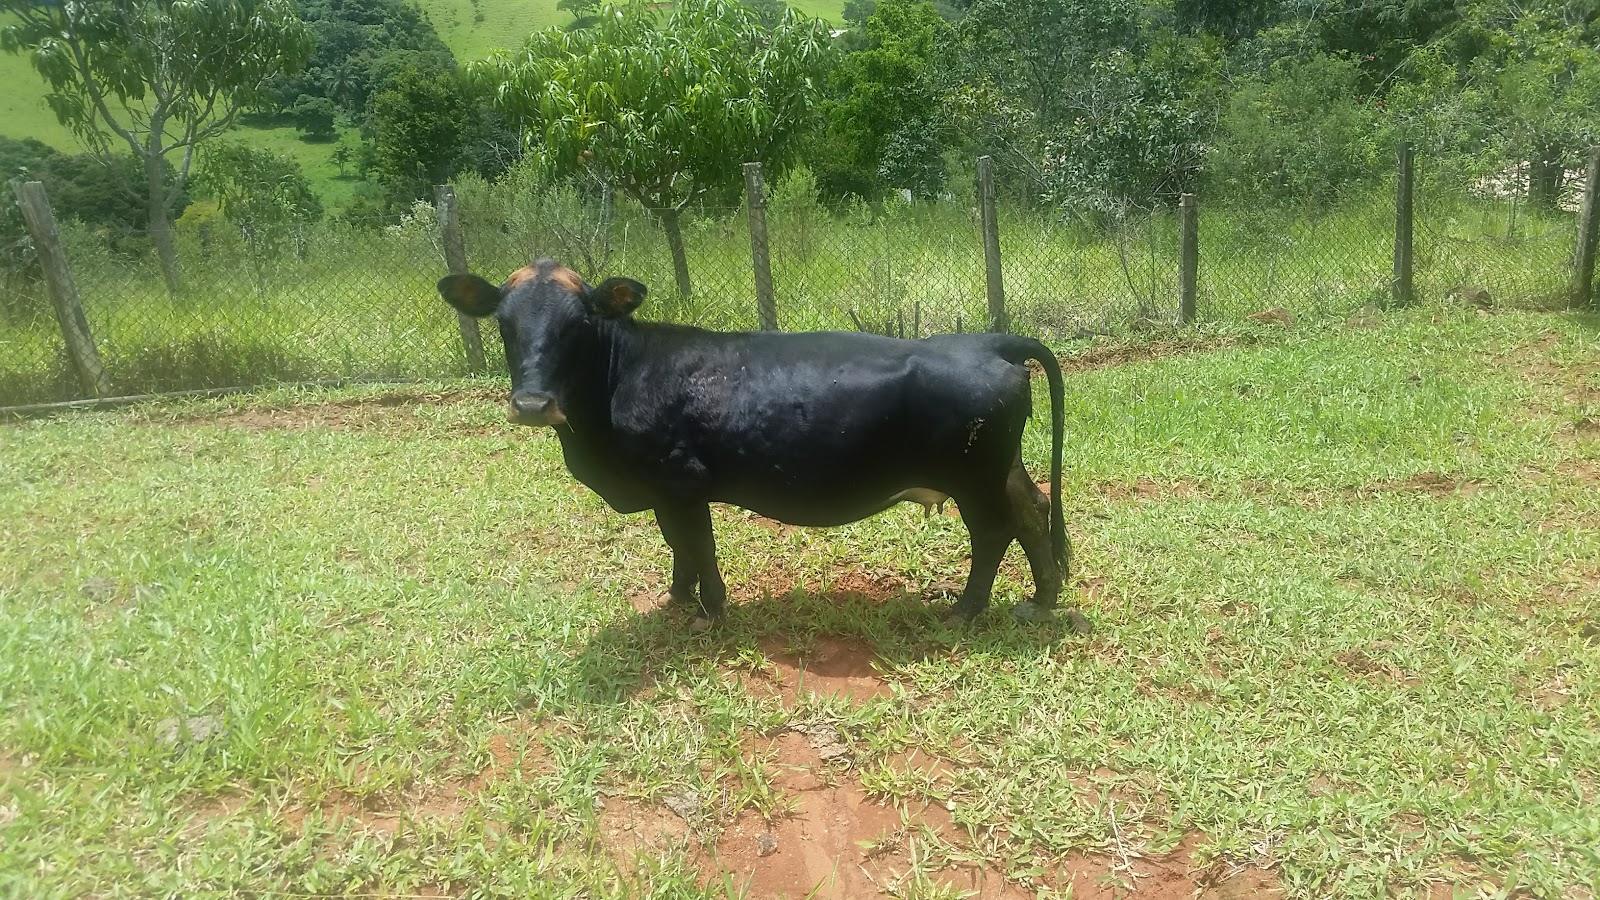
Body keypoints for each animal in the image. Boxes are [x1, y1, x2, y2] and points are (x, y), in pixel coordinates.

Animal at [438, 259, 1088, 632]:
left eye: (580, 322)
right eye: (504, 324)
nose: (531, 404)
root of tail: (988, 341)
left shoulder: (680, 480)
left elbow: (697, 545)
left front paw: (712, 612)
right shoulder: (664, 491)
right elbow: (678, 547)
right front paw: (677, 600)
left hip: (974, 478)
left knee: (996, 532)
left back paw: (963, 612)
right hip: (1000, 469)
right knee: (1034, 512)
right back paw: (1041, 600)